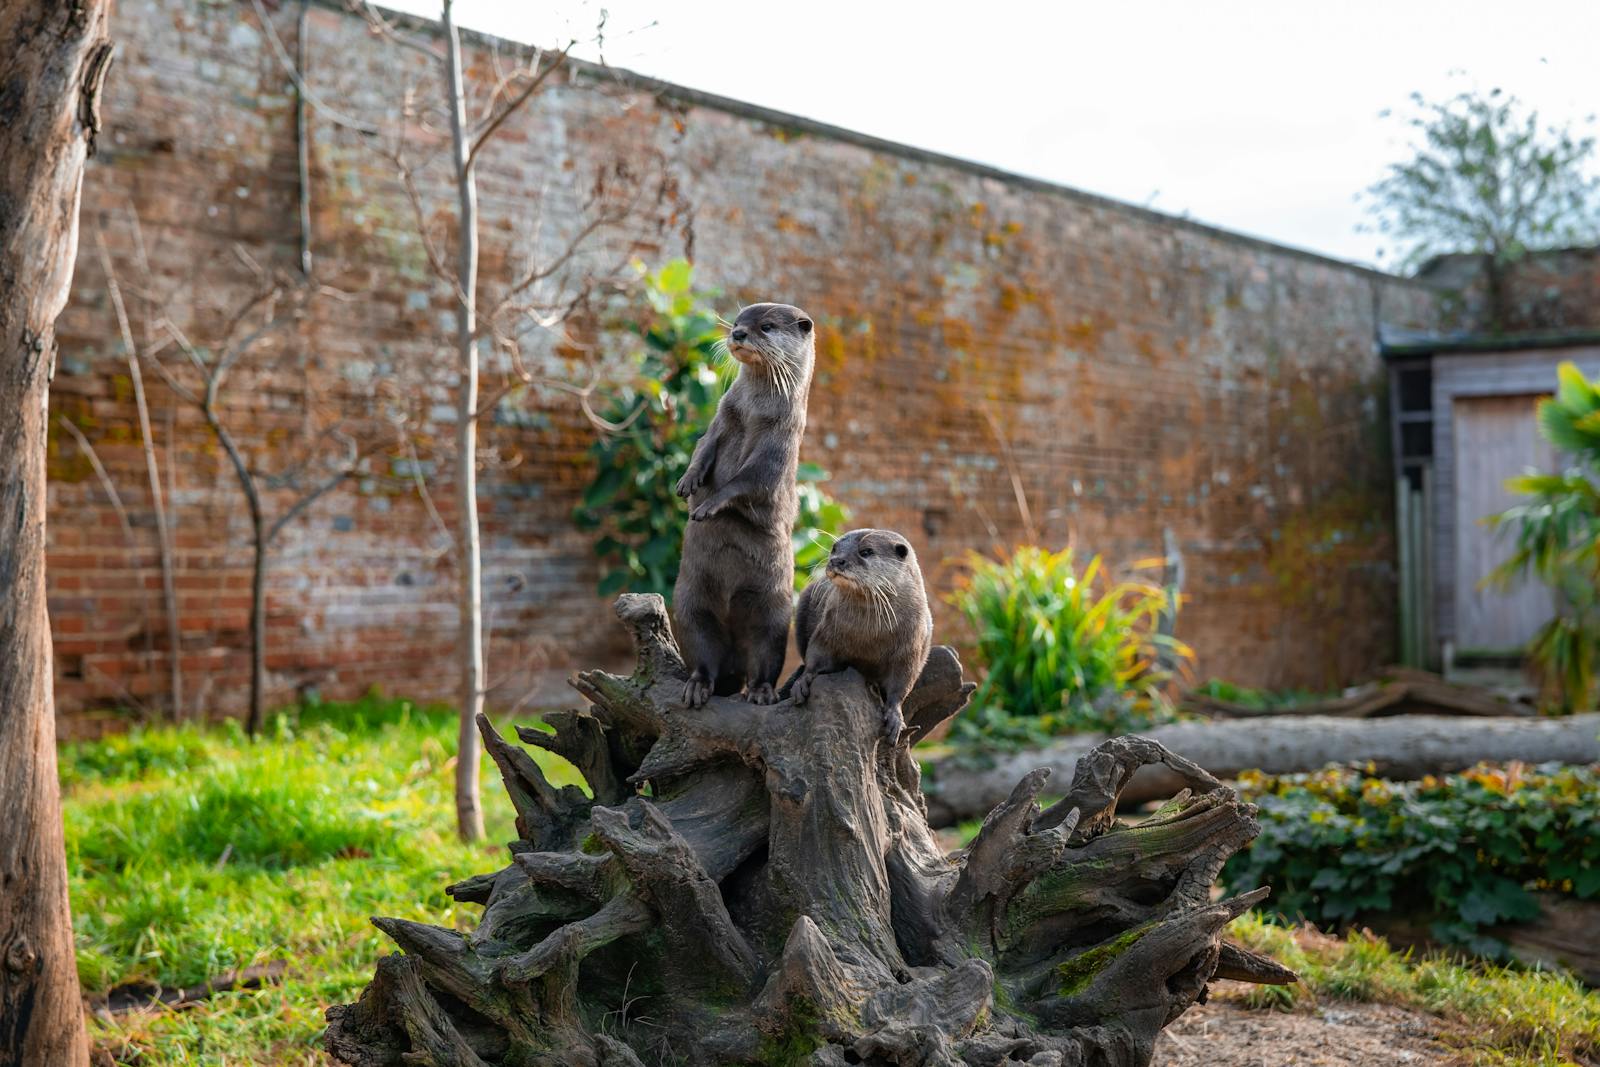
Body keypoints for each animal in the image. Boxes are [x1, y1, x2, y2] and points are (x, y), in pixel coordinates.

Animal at [672, 302, 816, 708]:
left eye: (765, 327)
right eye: (737, 322)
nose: (737, 334)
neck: (754, 412)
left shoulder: (778, 446)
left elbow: (748, 482)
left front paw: (708, 507)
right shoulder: (723, 415)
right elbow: (701, 448)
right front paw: (688, 482)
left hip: (773, 615)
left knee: (764, 657)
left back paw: (761, 692)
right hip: (689, 607)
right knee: (703, 657)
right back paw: (697, 686)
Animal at [791, 528, 932, 743]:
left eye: (866, 551)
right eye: (834, 548)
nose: (837, 560)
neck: (869, 636)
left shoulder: (910, 649)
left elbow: (901, 684)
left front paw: (895, 717)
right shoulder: (826, 631)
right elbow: (815, 656)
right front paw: (802, 682)